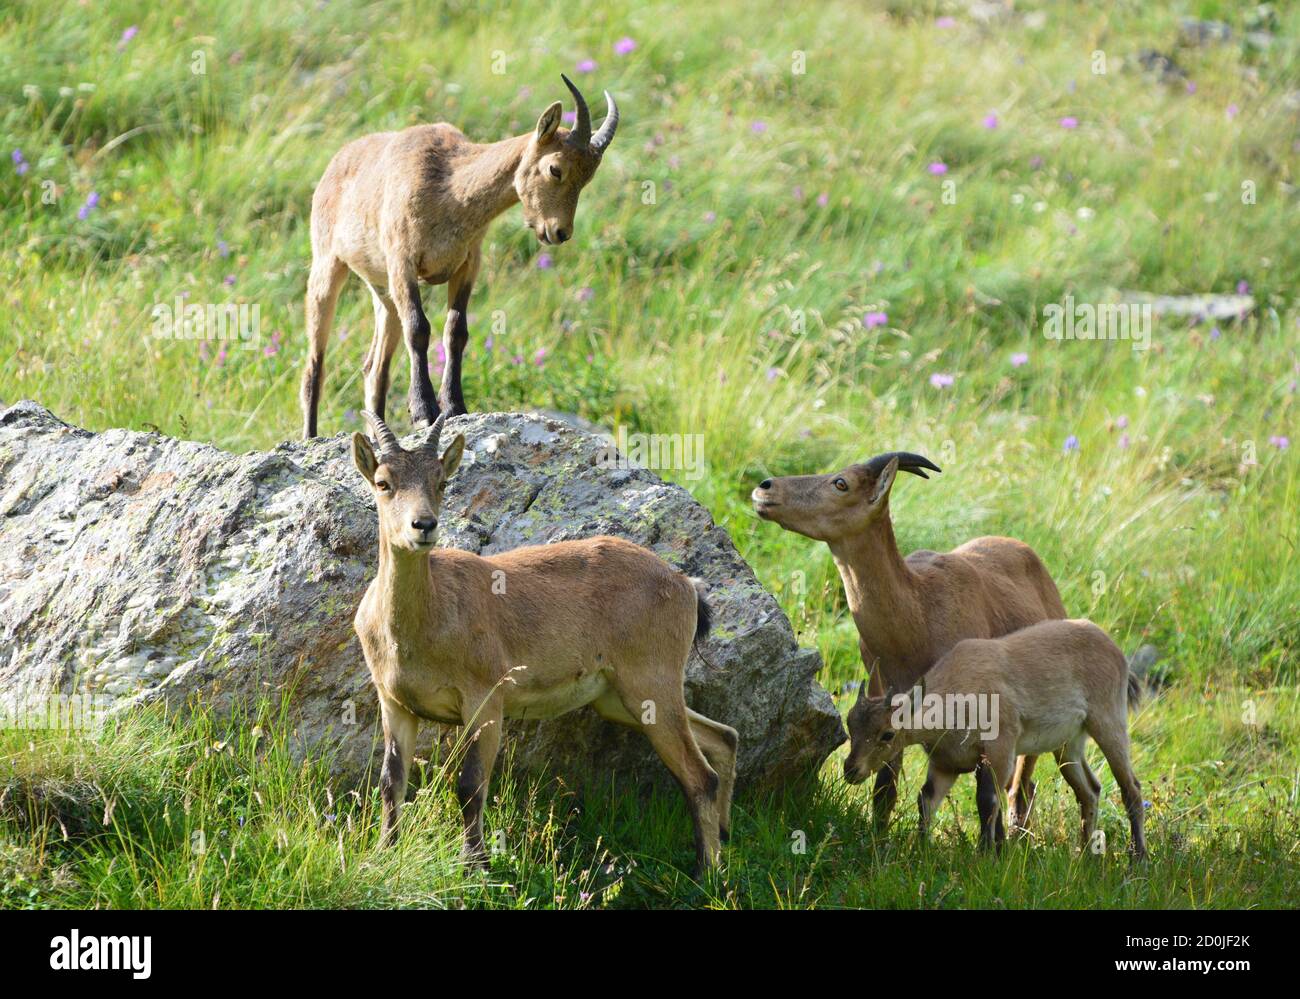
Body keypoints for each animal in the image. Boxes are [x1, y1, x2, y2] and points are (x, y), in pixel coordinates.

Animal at [302, 76, 619, 438]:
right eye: (555, 169)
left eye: (588, 177)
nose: (559, 232)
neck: (449, 187)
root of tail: (334, 165)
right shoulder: (402, 261)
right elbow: (419, 328)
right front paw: (424, 411)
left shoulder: (468, 264)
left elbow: (456, 331)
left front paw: (455, 406)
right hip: (328, 266)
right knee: (315, 363)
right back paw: (310, 435)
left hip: (382, 293)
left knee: (375, 367)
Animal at [350, 412, 738, 873]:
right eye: (383, 482)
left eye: (441, 481)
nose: (423, 526)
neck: (423, 622)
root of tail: (685, 586)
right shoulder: (396, 703)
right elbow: (391, 782)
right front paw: (382, 855)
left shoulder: (486, 699)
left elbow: (470, 785)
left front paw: (476, 867)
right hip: (618, 698)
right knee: (724, 738)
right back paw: (724, 839)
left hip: (651, 682)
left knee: (700, 776)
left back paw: (705, 874)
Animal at [751, 452, 1067, 832]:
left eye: (841, 483)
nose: (764, 489)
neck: (916, 616)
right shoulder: (885, 695)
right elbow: (884, 789)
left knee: (1022, 781)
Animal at [845, 618, 1147, 860]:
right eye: (850, 725)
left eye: (887, 733)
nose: (851, 770)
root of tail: (1115, 650)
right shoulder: (946, 763)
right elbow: (926, 799)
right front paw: (919, 849)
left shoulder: (1000, 747)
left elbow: (988, 799)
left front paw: (986, 855)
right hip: (1069, 743)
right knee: (1090, 791)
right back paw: (1084, 856)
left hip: (1108, 719)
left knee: (1131, 787)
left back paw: (1137, 858)